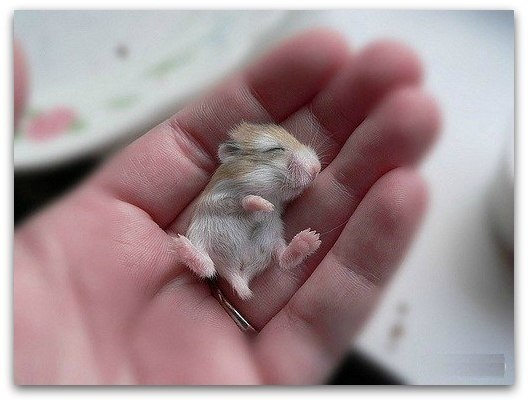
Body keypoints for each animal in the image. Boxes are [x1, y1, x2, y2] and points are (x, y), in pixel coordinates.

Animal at [172, 122, 322, 300]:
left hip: (272, 239)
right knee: (207, 266)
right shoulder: (218, 200)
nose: (317, 169)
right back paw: (180, 245)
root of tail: (238, 274)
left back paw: (310, 239)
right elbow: (244, 200)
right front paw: (266, 206)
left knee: (283, 259)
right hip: (199, 236)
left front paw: (268, 208)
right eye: (275, 149)